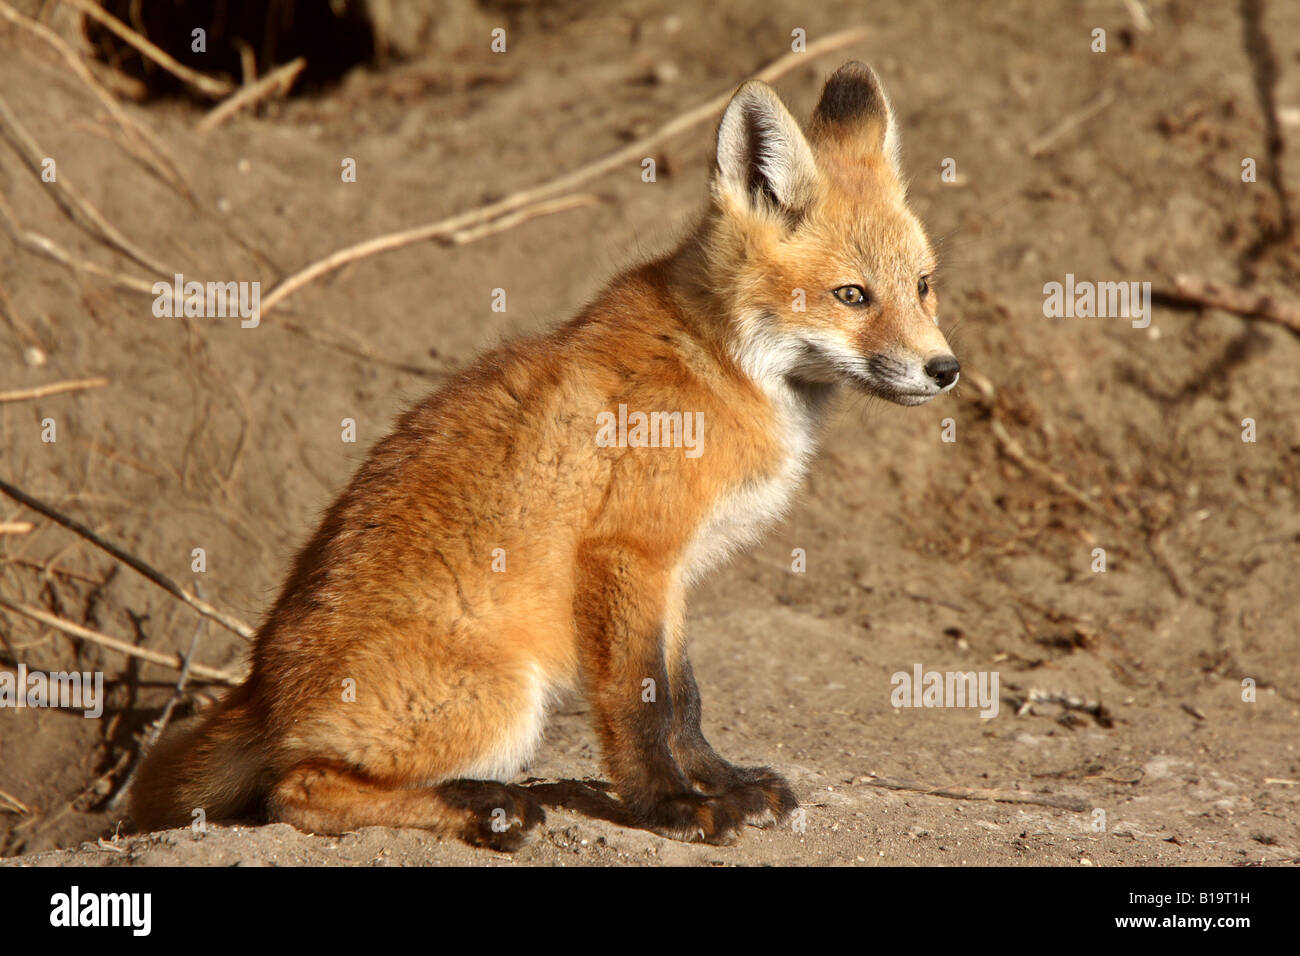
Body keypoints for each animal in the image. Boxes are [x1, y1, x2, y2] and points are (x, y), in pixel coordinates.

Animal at [130, 61, 959, 850]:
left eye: (923, 287)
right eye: (852, 296)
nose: (945, 370)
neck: (723, 361)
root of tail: (256, 689)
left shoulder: (671, 573)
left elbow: (684, 700)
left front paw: (724, 782)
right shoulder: (624, 553)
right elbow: (639, 706)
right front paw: (671, 806)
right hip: (503, 696)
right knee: (295, 791)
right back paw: (485, 810)